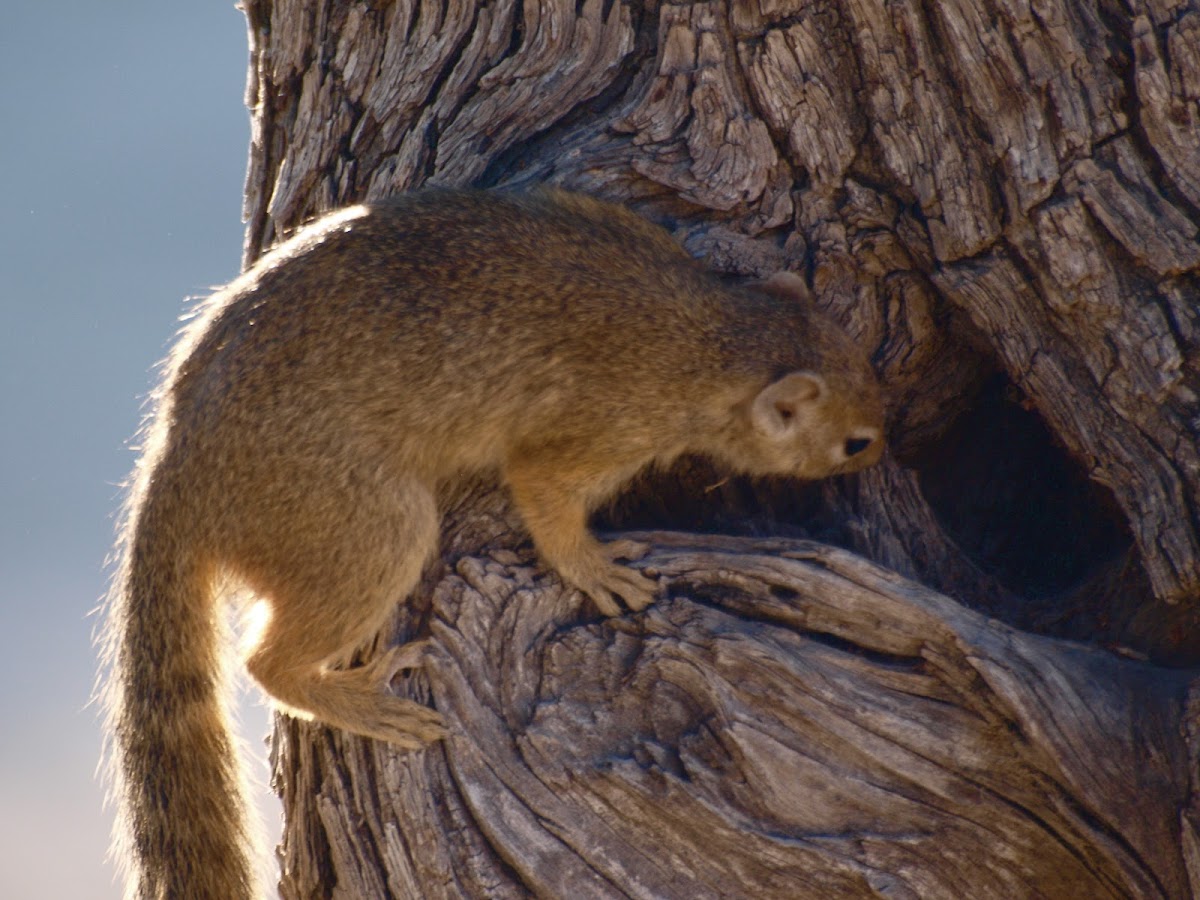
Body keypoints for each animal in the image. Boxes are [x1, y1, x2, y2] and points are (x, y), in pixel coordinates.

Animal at [100, 187, 884, 899]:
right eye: (853, 442)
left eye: (868, 364)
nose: (885, 447)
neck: (715, 337)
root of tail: (181, 471)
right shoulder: (600, 428)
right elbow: (546, 495)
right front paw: (597, 570)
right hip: (361, 525)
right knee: (269, 663)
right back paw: (366, 700)